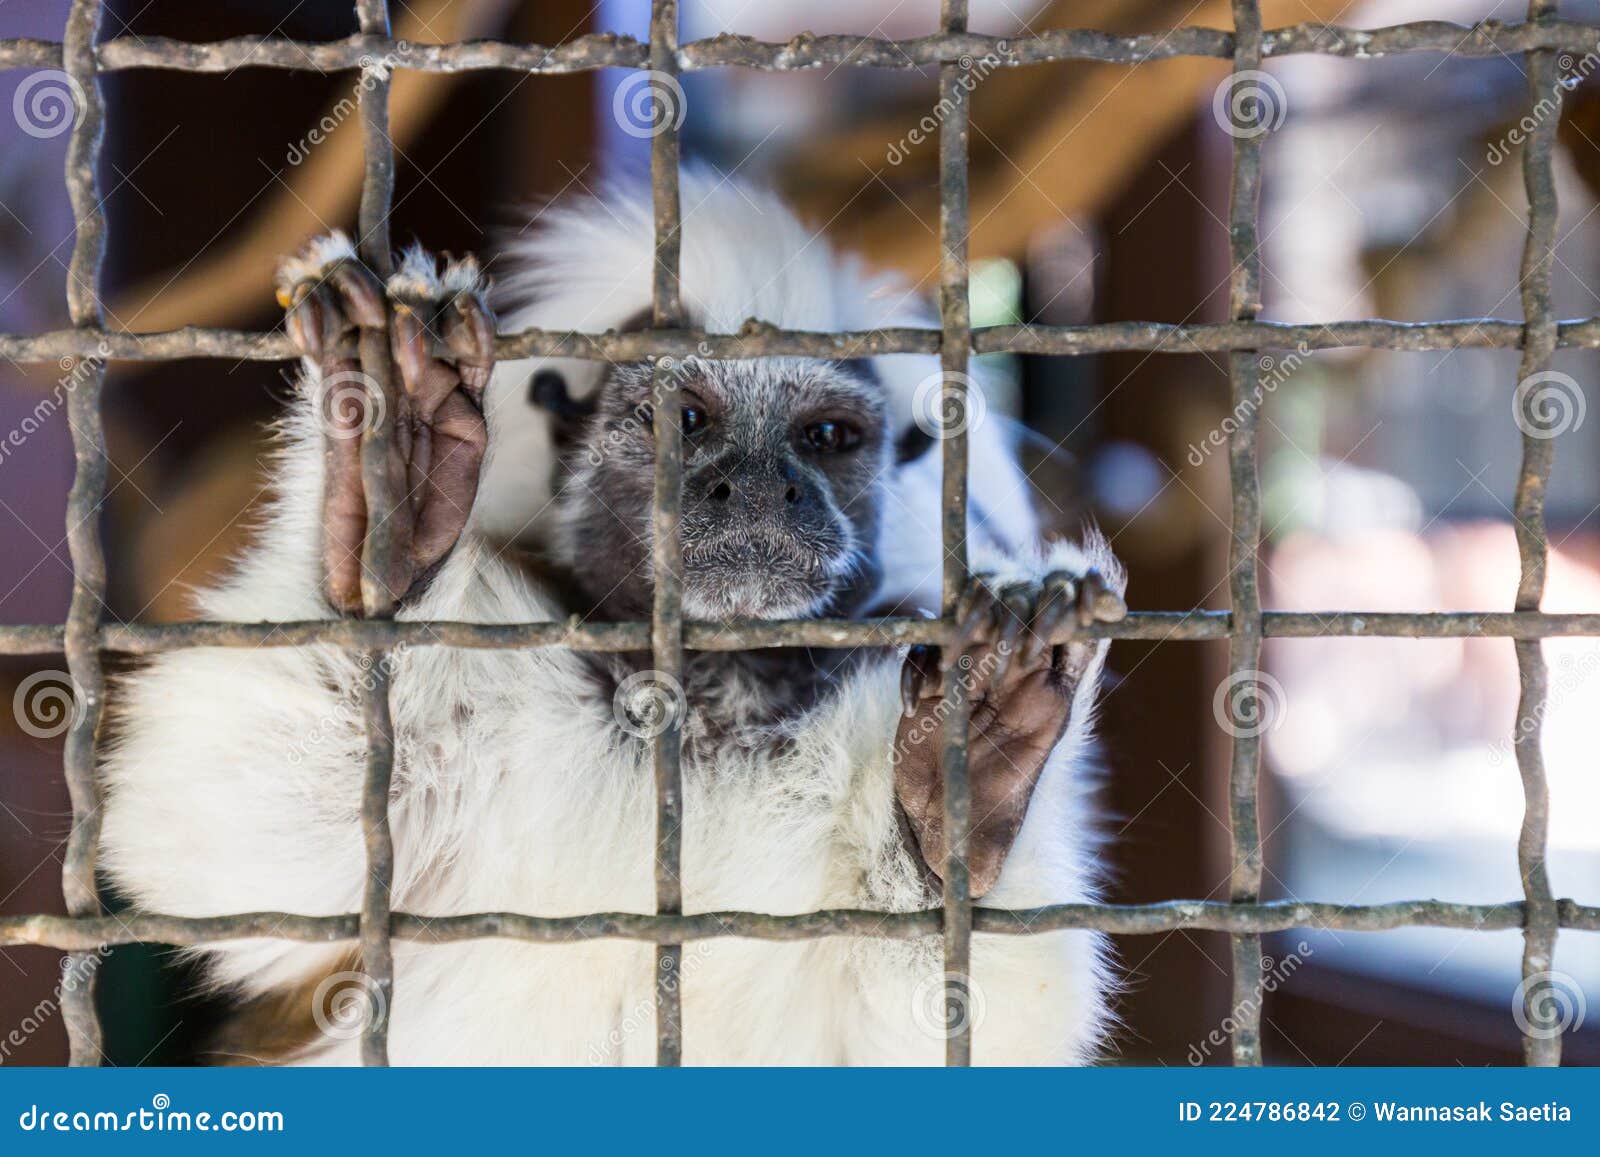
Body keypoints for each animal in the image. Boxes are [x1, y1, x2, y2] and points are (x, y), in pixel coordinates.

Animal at [98, 170, 1126, 1065]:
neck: (708, 699)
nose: (759, 488)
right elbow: (251, 836)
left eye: (826, 436)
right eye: (685, 420)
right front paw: (391, 500)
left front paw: (967, 772)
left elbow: (958, 1027)